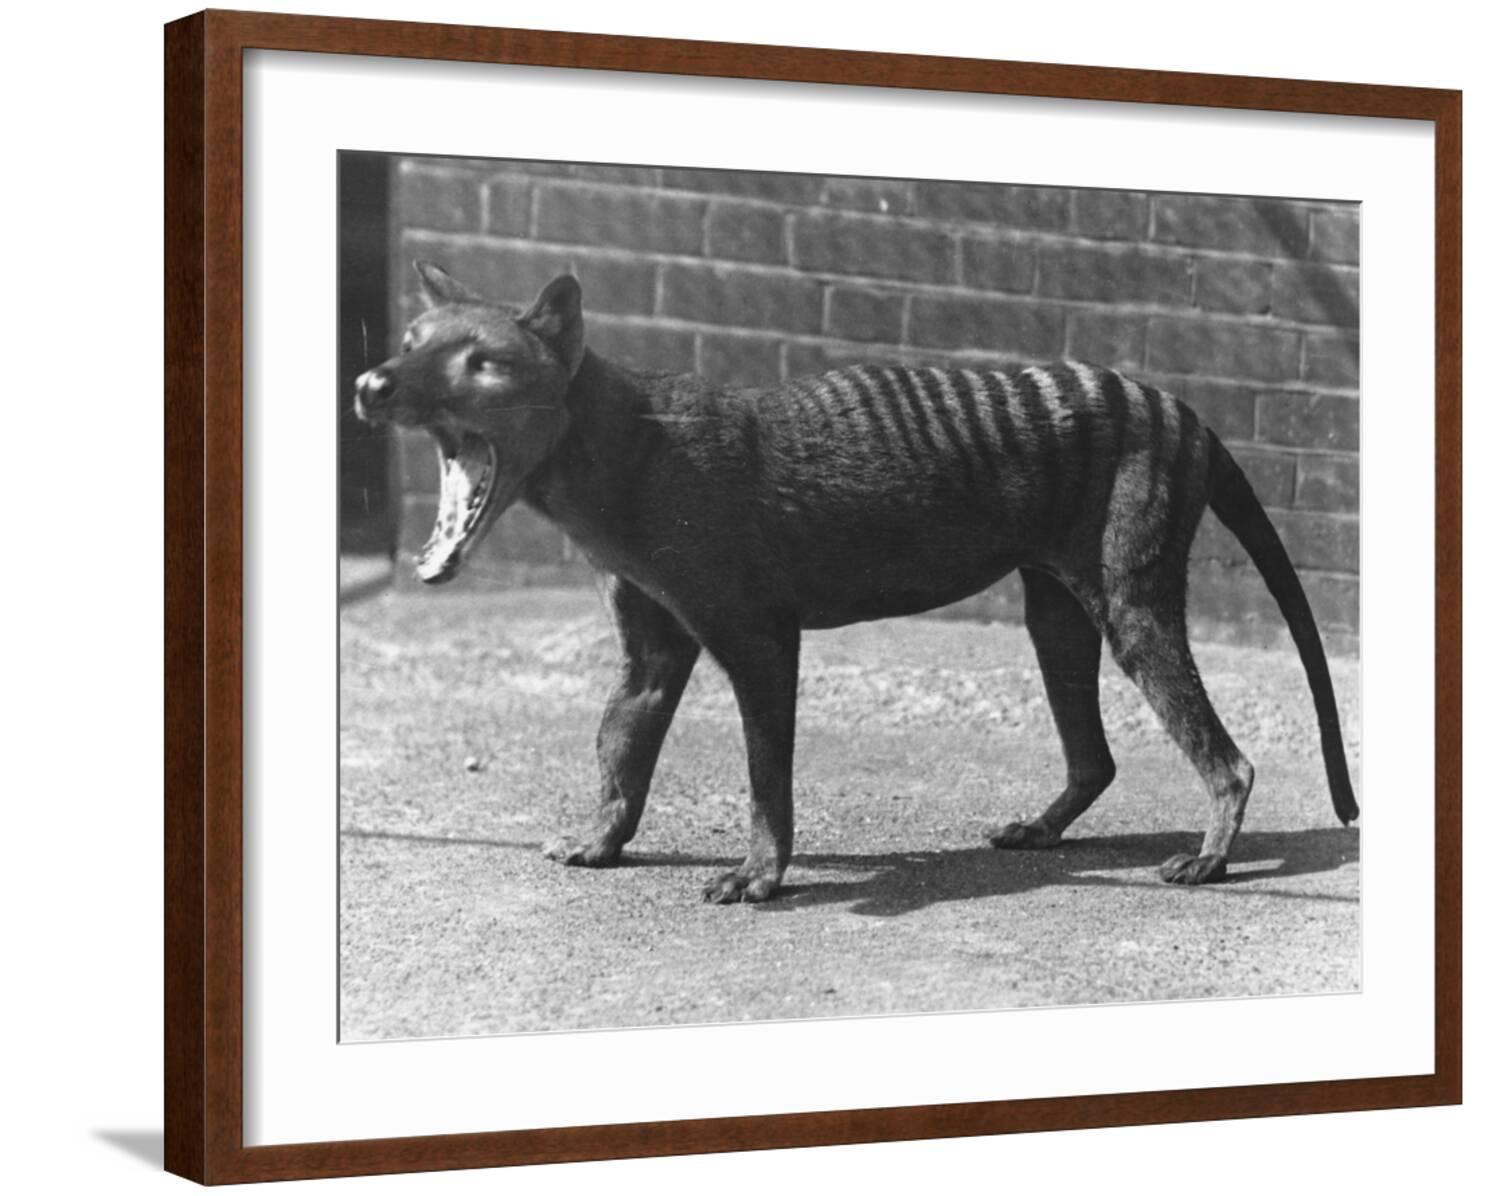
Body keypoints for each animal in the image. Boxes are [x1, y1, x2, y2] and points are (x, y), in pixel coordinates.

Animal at [354, 261, 1359, 904]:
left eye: (483, 360)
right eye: (410, 340)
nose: (370, 383)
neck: (622, 451)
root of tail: (1187, 410)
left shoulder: (758, 635)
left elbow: (766, 772)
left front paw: (760, 876)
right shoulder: (651, 645)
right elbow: (619, 747)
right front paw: (602, 841)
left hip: (1129, 598)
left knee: (1225, 755)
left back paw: (1210, 858)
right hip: (1054, 607)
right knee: (1094, 755)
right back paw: (1043, 829)